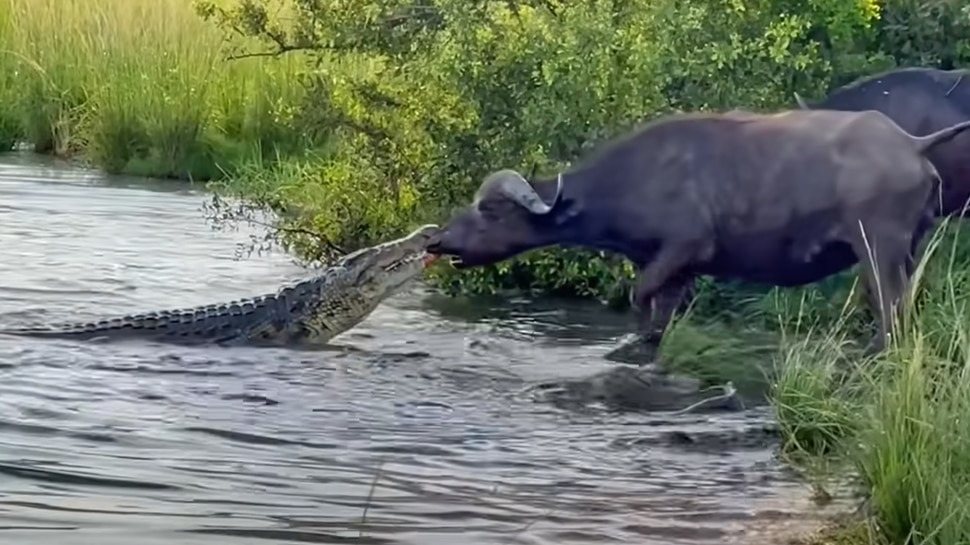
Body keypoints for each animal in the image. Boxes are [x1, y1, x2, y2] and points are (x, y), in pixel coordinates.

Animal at [426, 109, 970, 363]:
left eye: (491, 209)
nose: (437, 241)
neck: (635, 178)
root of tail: (910, 143)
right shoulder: (675, 266)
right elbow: (659, 311)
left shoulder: (684, 248)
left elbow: (640, 295)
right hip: (907, 246)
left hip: (878, 246)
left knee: (890, 305)